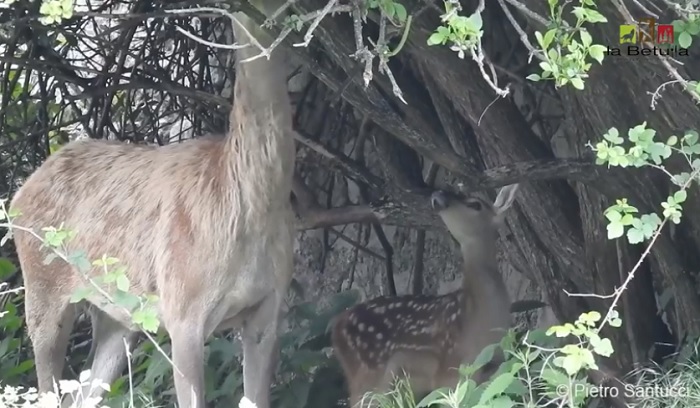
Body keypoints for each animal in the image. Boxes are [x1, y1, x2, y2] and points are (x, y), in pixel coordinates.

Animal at [9, 2, 295, 408]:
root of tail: (18, 194)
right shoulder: (183, 311)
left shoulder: (268, 312)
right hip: (42, 286)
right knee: (48, 385)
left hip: (118, 316)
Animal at [331, 184, 520, 407]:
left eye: (475, 204)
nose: (439, 194)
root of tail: (337, 326)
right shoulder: (450, 369)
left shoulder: (491, 363)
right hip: (370, 375)